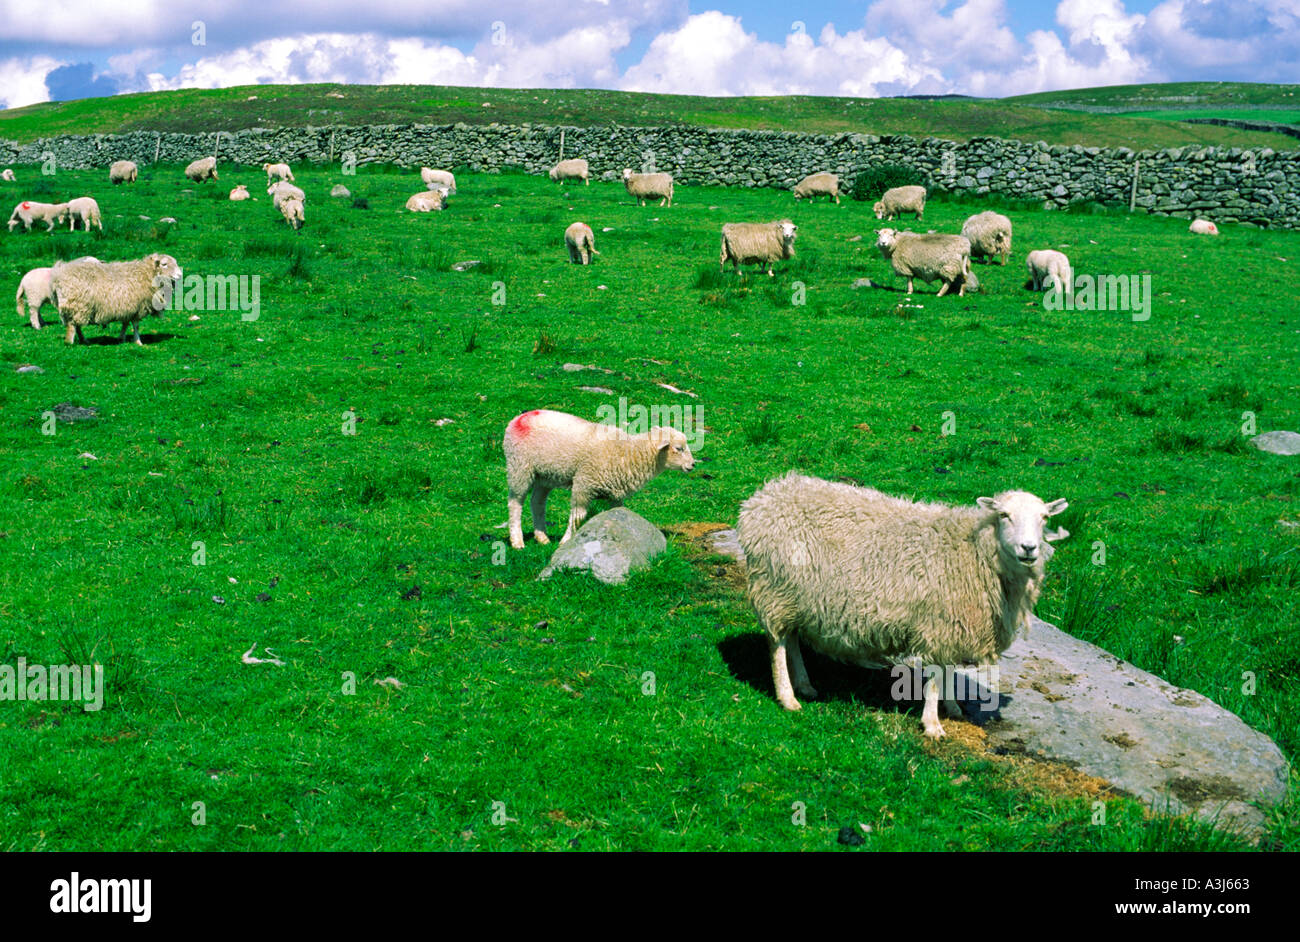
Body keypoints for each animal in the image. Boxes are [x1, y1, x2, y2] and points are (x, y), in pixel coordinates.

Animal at [50, 253, 184, 346]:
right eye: (164, 264)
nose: (180, 275)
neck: (147, 274)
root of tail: (58, 276)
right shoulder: (138, 307)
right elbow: (136, 326)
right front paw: (138, 341)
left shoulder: (128, 307)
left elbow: (125, 323)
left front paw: (121, 338)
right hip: (77, 305)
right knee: (73, 325)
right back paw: (70, 342)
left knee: (77, 325)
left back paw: (83, 340)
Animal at [503, 409, 695, 550]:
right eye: (679, 448)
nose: (693, 465)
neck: (629, 452)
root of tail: (521, 417)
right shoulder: (584, 483)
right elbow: (577, 516)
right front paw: (566, 541)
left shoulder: (616, 494)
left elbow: (616, 514)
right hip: (519, 467)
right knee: (515, 503)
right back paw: (517, 541)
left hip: (545, 475)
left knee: (537, 502)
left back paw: (542, 537)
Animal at [737, 473, 1067, 738]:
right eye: (1004, 515)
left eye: (1044, 518)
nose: (1029, 548)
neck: (974, 550)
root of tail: (762, 499)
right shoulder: (938, 623)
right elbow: (935, 677)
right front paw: (932, 724)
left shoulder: (951, 624)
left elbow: (947, 669)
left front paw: (952, 708)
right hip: (775, 587)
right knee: (778, 644)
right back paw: (787, 697)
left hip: (796, 596)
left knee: (791, 639)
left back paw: (804, 685)